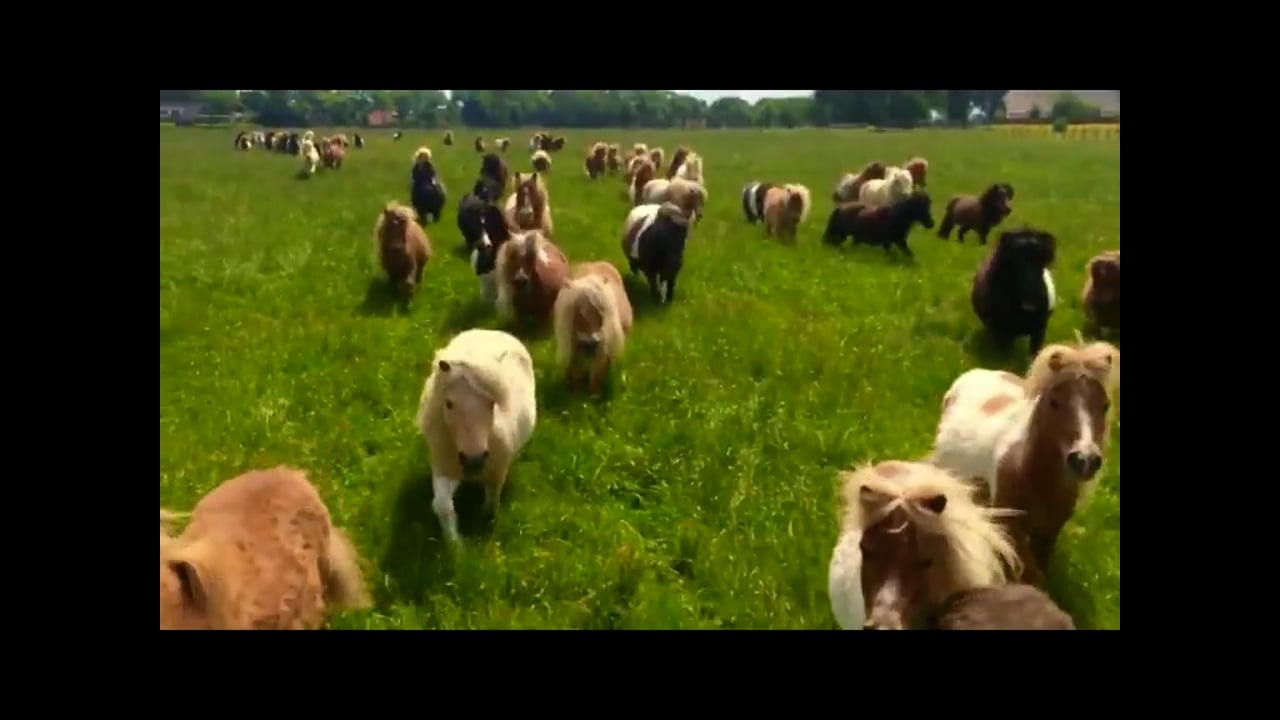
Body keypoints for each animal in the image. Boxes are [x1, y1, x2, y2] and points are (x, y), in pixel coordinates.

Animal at [415, 329, 538, 544]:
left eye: (492, 402)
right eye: (448, 403)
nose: (474, 459)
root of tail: (490, 331)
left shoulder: (496, 472)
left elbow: (491, 505)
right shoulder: (444, 467)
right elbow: (442, 504)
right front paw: (455, 545)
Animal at [553, 261, 633, 394]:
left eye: (601, 310)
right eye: (577, 310)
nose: (591, 342)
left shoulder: (602, 346)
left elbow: (596, 373)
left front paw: (594, 394)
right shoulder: (572, 345)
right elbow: (574, 371)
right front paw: (575, 392)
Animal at [929, 366, 1111, 586]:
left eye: (1105, 406)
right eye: (1054, 402)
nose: (1085, 459)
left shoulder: (1050, 531)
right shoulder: (1010, 525)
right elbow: (1027, 572)